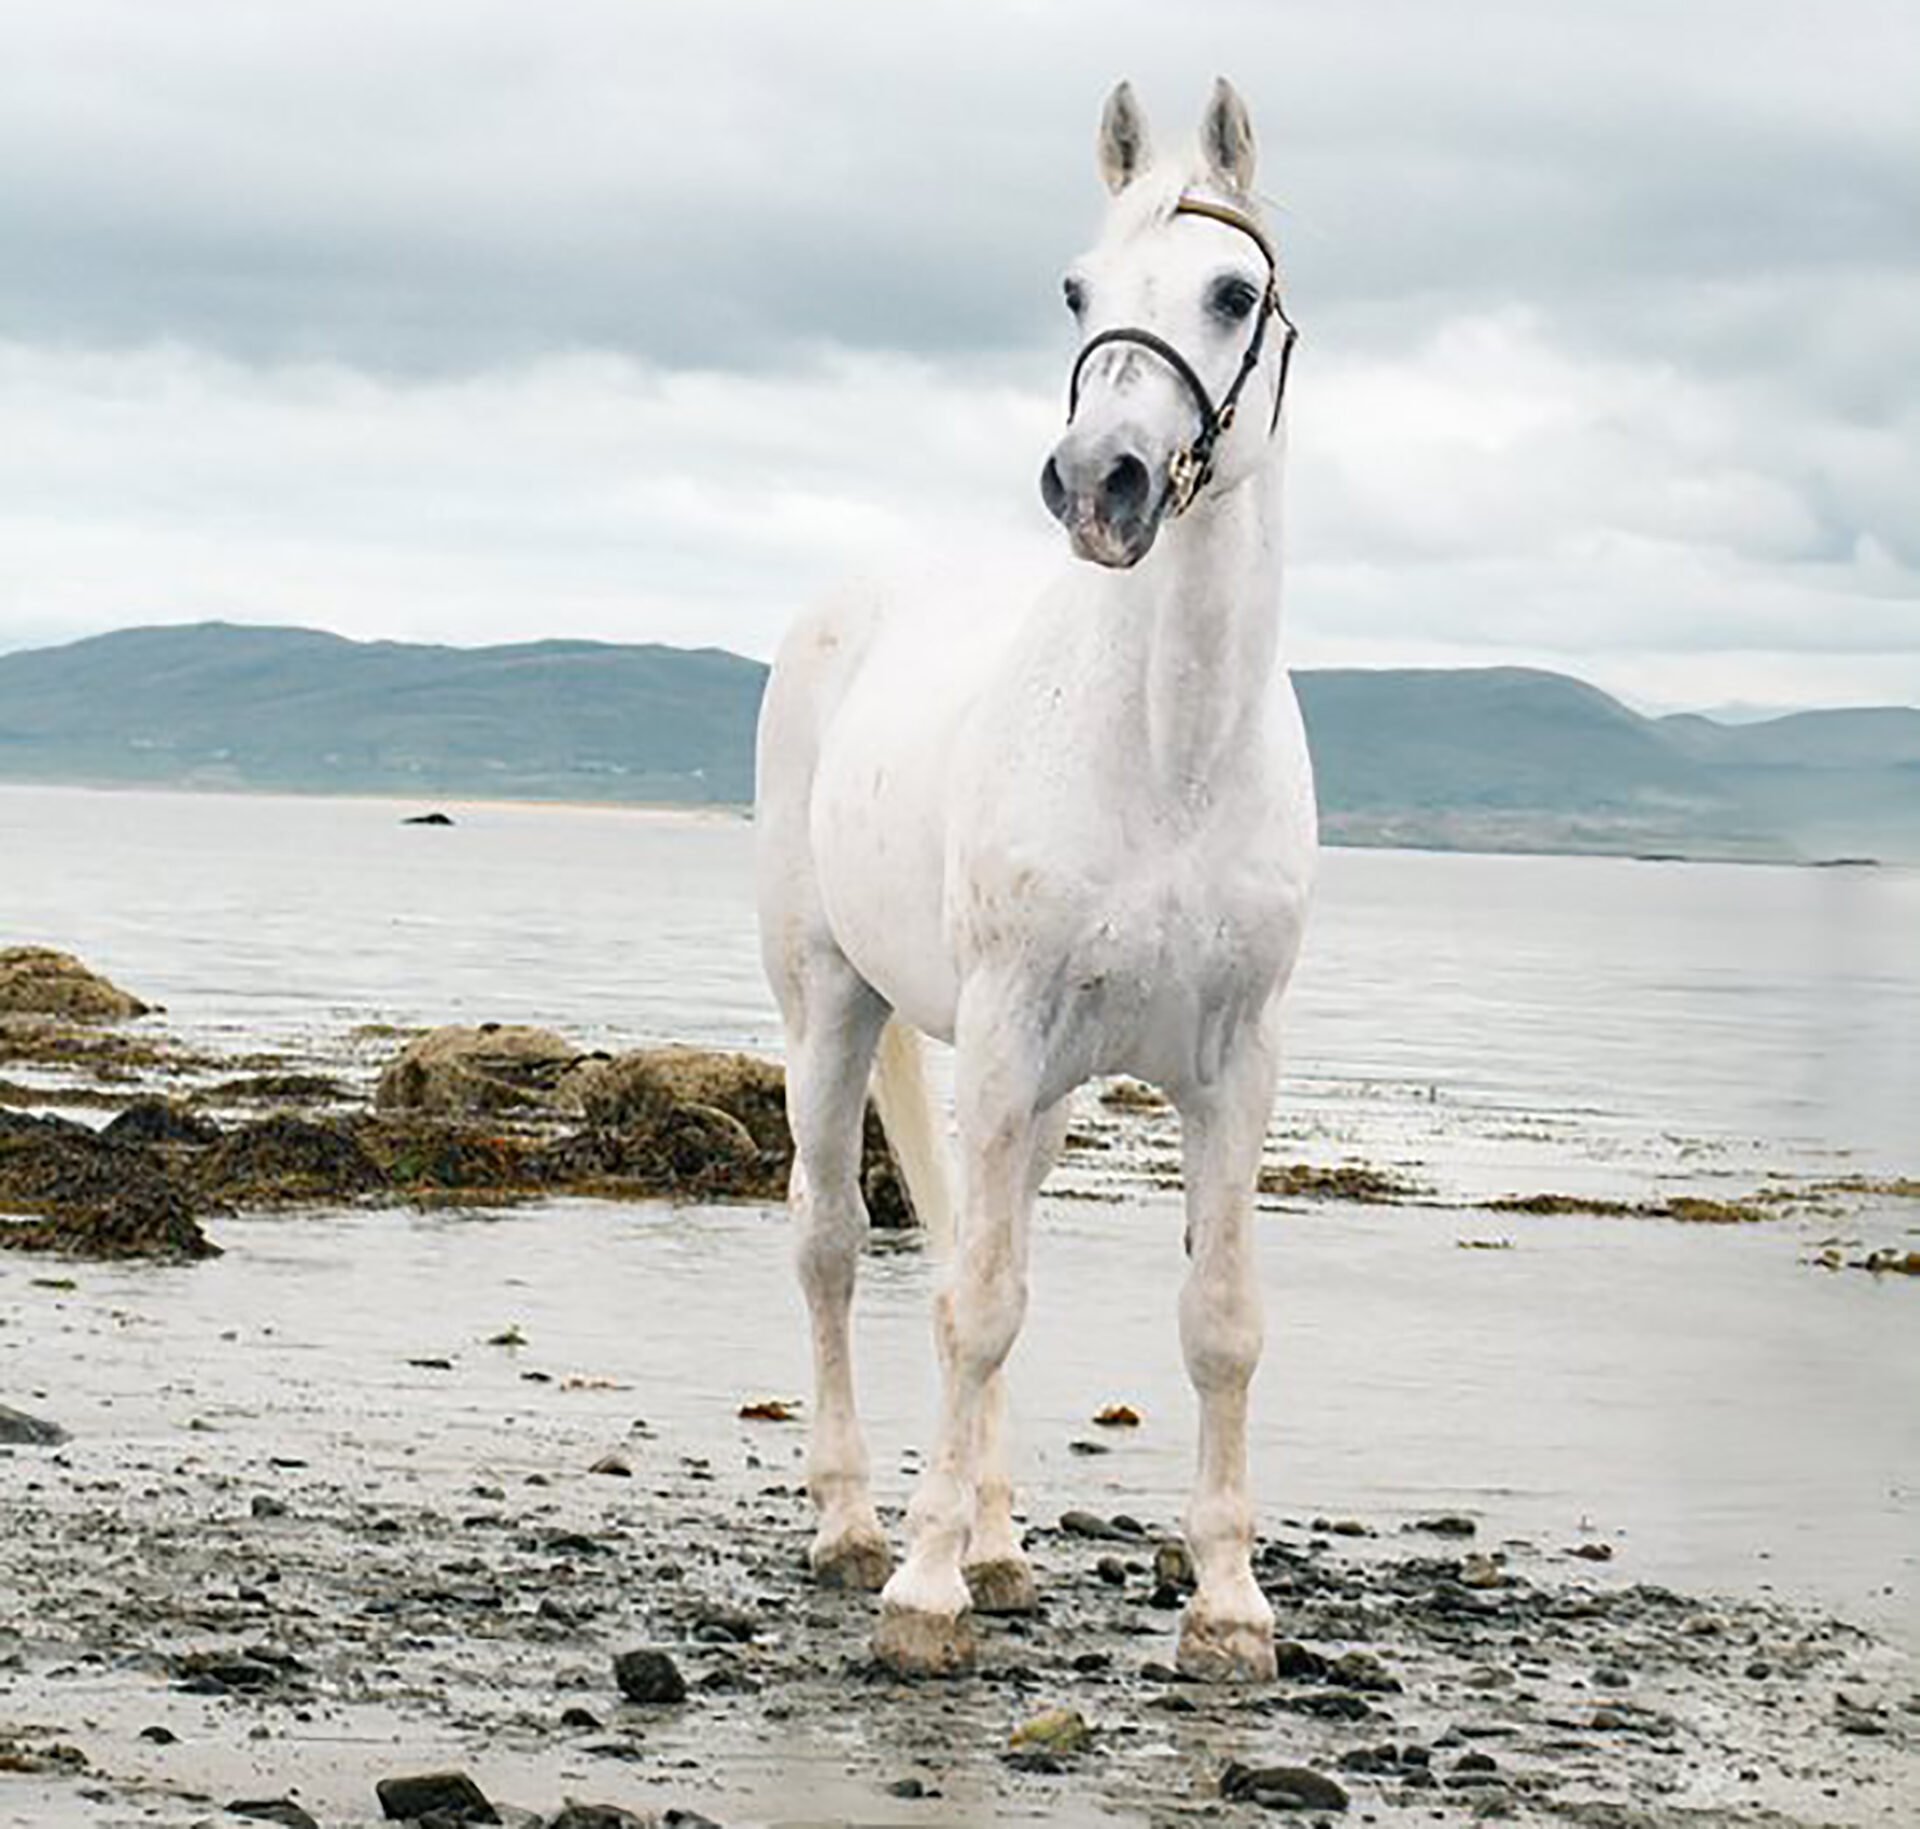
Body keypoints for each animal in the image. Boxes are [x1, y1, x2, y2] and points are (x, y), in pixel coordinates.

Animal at [754, 77, 1317, 1682]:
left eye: (1232, 290)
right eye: (1077, 287)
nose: (1098, 484)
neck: (1165, 752)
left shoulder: (1232, 1065)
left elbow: (1219, 1320)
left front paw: (1228, 1608)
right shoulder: (1003, 1038)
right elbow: (976, 1307)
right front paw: (922, 1595)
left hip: (1049, 1089)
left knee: (959, 1241)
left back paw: (1001, 1546)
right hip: (833, 1004)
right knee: (835, 1246)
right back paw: (856, 1525)